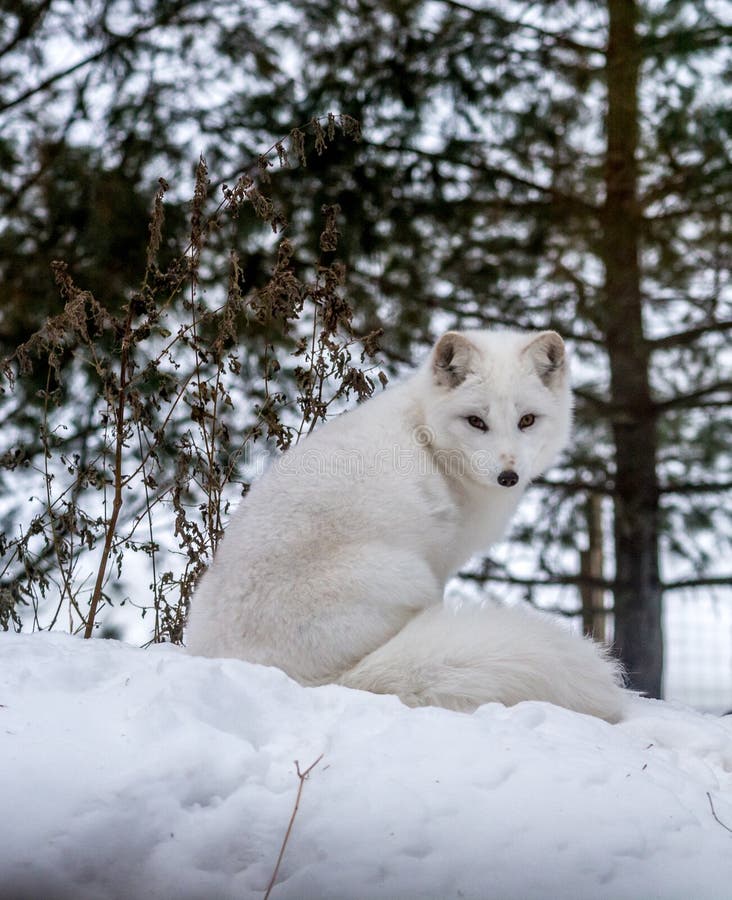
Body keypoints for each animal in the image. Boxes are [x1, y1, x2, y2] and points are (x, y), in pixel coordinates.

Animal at [185, 329, 626, 722]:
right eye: (476, 422)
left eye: (528, 420)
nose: (508, 476)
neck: (428, 436)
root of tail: (318, 681)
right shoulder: (441, 564)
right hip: (411, 577)